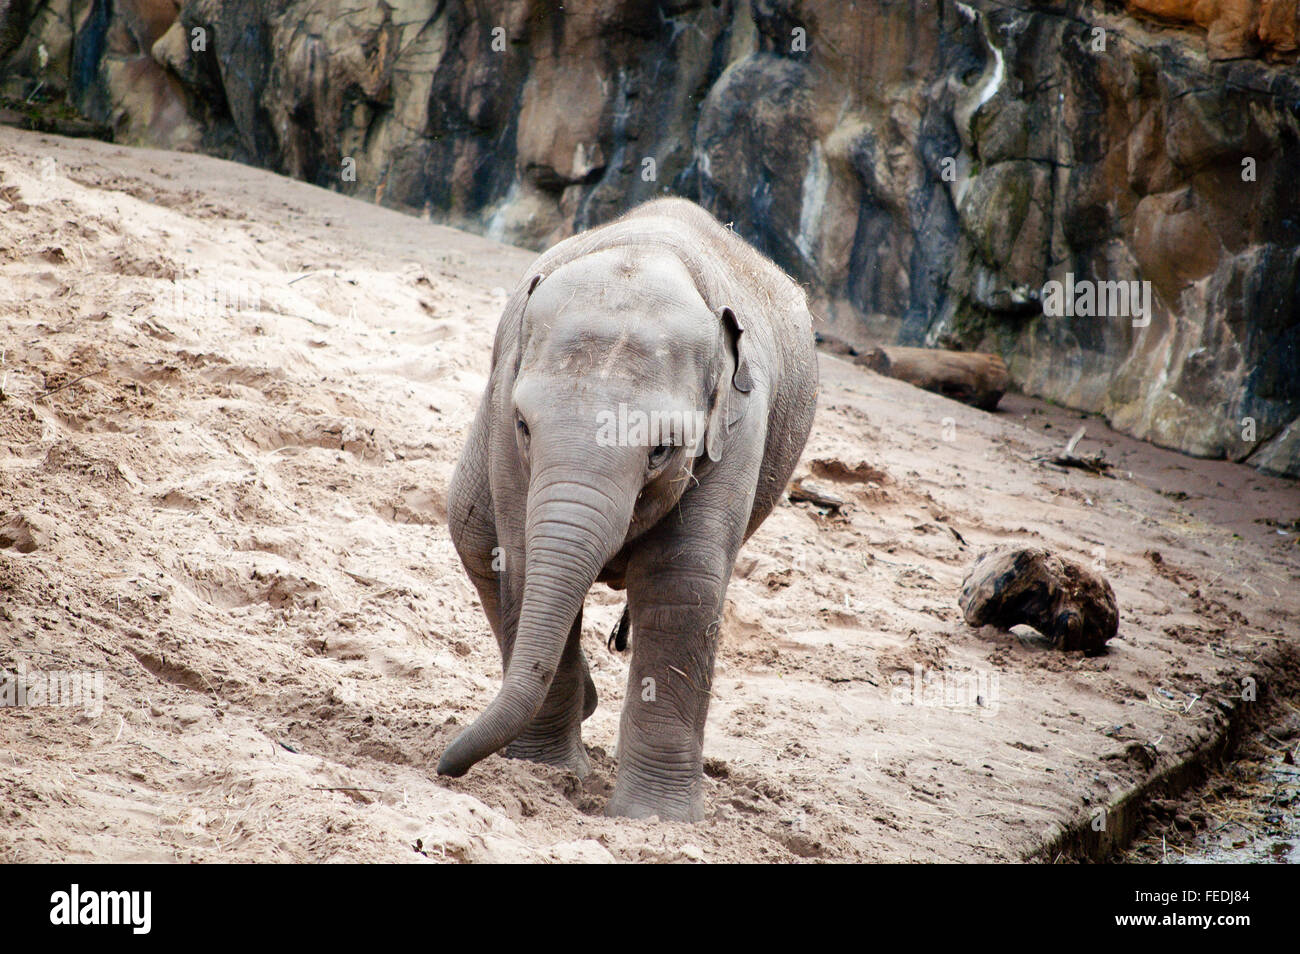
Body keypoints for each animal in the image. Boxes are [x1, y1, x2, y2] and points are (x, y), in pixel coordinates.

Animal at [437, 197, 818, 821]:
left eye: (661, 449)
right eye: (523, 425)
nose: (445, 766)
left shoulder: (740, 426)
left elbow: (681, 584)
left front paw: (654, 818)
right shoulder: (503, 426)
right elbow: (520, 555)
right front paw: (547, 773)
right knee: (474, 536)